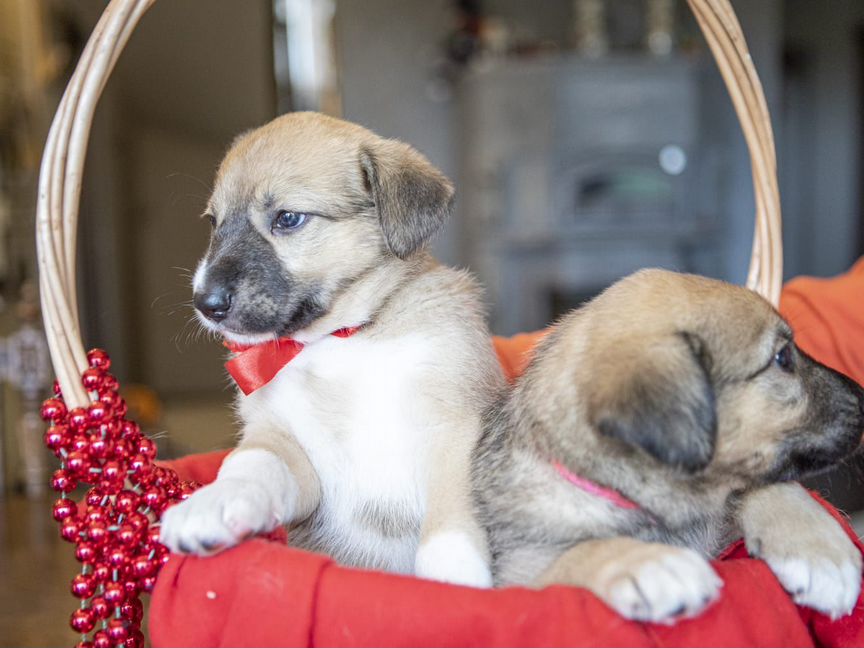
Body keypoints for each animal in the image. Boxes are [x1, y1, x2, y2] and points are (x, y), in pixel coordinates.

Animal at [159, 112, 502, 588]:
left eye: (287, 218)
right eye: (214, 222)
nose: (205, 304)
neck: (342, 338)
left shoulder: (453, 427)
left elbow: (452, 516)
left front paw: (453, 578)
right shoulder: (286, 445)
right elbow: (251, 464)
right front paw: (214, 504)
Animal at [472, 270, 864, 624]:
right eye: (783, 358)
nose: (862, 397)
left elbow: (764, 485)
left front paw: (821, 552)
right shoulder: (521, 576)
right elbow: (577, 553)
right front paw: (652, 565)